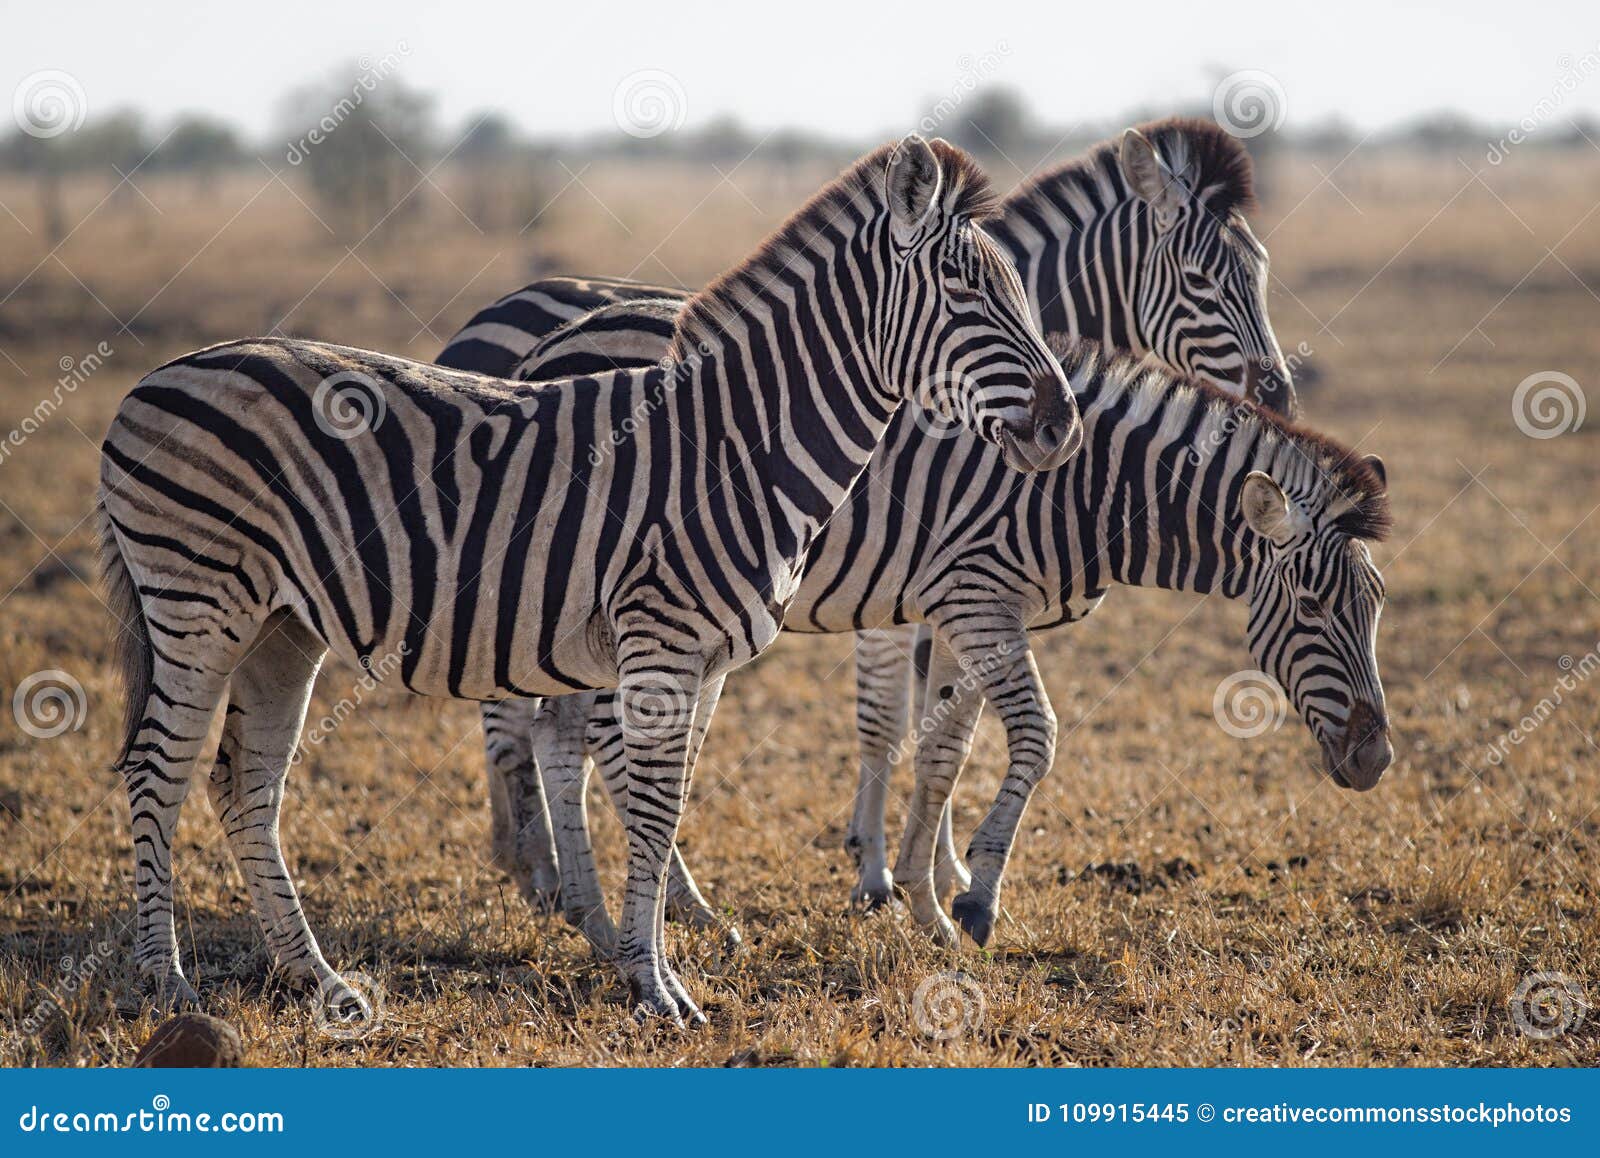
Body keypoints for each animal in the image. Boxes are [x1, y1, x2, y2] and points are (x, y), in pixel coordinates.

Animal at [95, 135, 1083, 1027]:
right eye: (963, 289)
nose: (1062, 426)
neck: (738, 448)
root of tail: (152, 378)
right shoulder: (662, 642)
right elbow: (648, 808)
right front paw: (655, 989)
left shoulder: (704, 661)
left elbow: (666, 806)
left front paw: (653, 965)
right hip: (198, 604)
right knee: (159, 770)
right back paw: (166, 983)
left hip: (280, 627)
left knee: (244, 786)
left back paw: (319, 980)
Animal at [451, 118, 1305, 938]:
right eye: (1200, 280)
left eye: (1263, 269)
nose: (1281, 398)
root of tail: (539, 338)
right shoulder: (908, 585)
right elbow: (889, 723)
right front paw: (882, 875)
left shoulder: (927, 593)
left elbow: (941, 726)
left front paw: (935, 870)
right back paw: (574, 878)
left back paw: (543, 870)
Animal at [494, 337, 1392, 953]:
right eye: (1312, 606)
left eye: (1377, 605)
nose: (1377, 760)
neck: (1080, 486)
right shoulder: (977, 597)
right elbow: (1037, 736)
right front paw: (975, 898)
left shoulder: (968, 611)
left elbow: (941, 754)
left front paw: (924, 900)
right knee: (594, 739)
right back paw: (649, 912)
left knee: (559, 733)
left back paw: (608, 911)